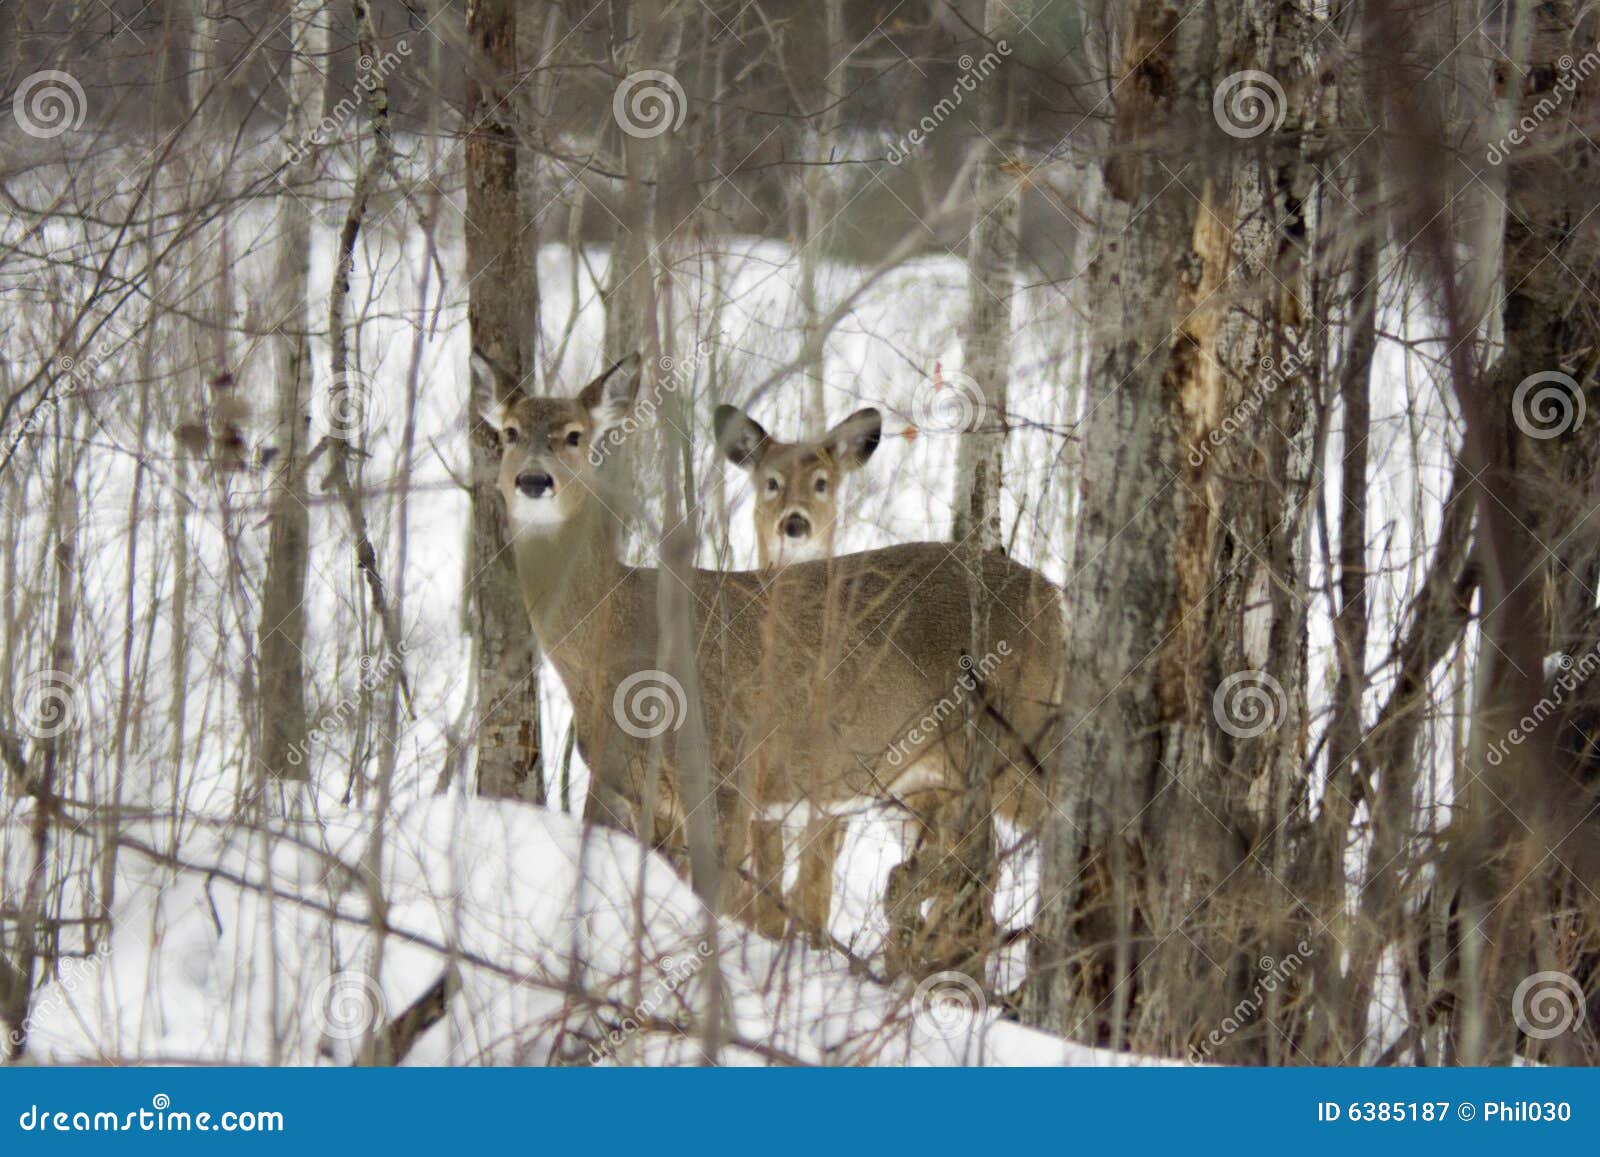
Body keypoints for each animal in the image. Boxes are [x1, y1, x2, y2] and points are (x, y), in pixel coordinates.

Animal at [482, 352, 1063, 961]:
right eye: (510, 432)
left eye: (575, 435)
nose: (533, 480)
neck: (612, 638)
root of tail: (1055, 597)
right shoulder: (645, 794)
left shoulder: (725, 773)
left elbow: (721, 902)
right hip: (928, 776)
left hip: (1016, 735)